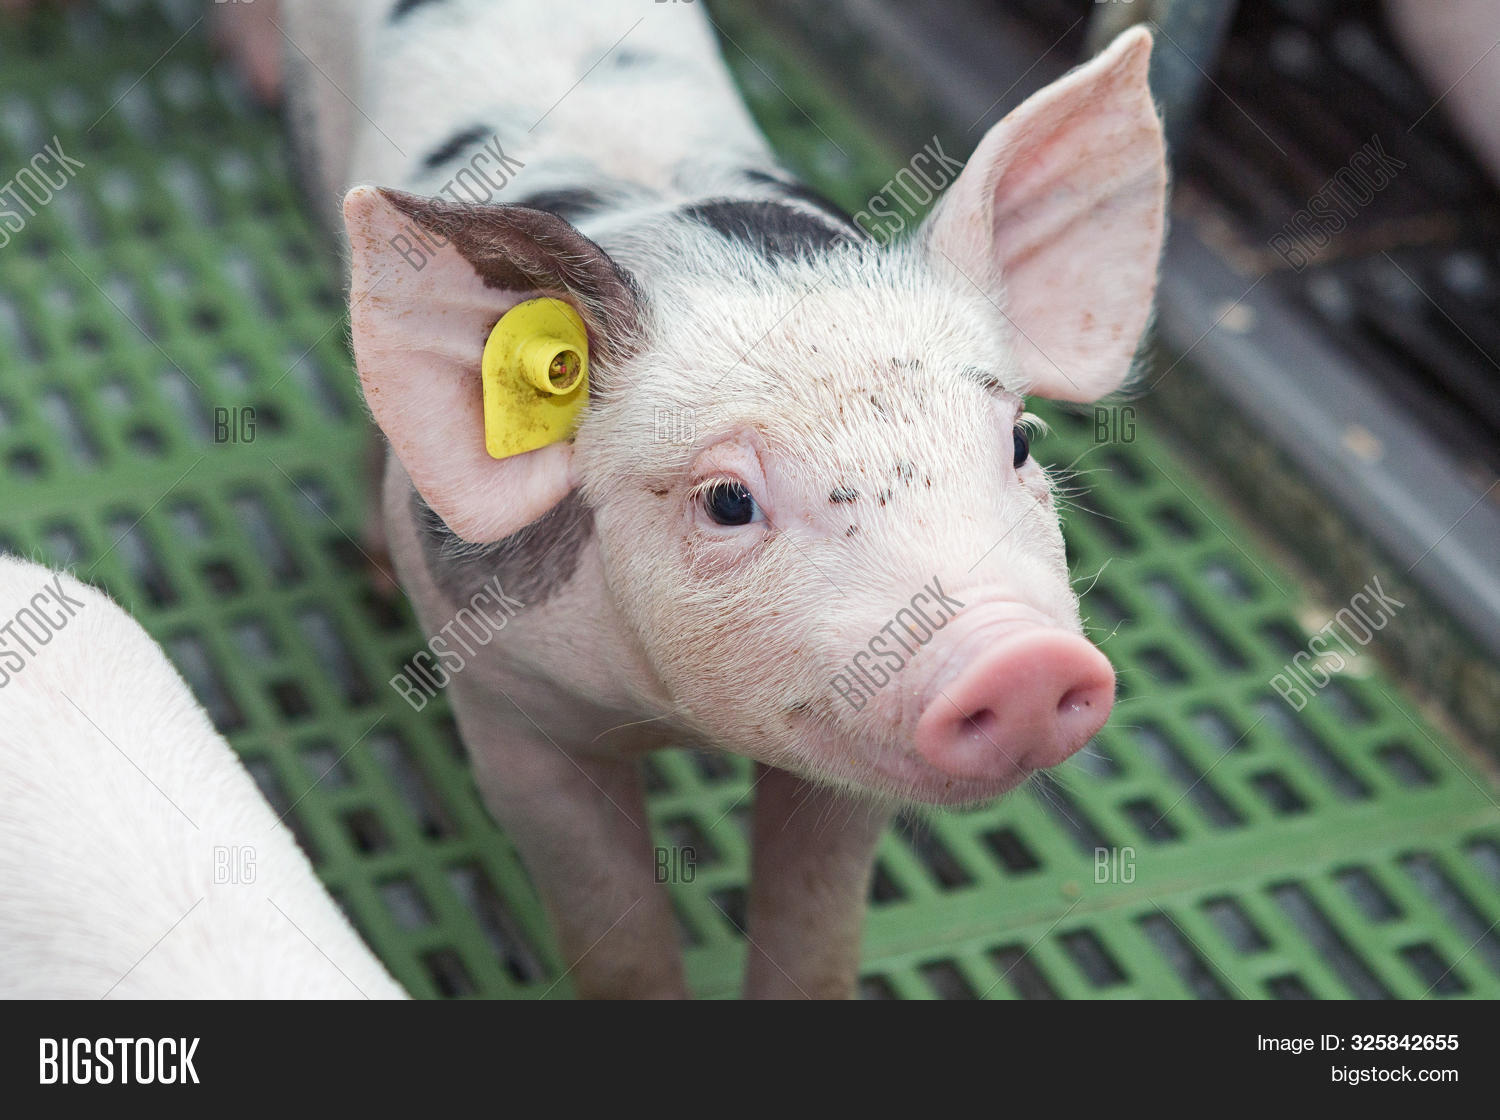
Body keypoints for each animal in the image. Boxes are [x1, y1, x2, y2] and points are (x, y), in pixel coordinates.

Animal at [273, 0, 1167, 998]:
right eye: (728, 501)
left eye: (1018, 441)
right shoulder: (510, 708)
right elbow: (611, 924)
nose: (1021, 660)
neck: (669, 720)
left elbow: (814, 919)